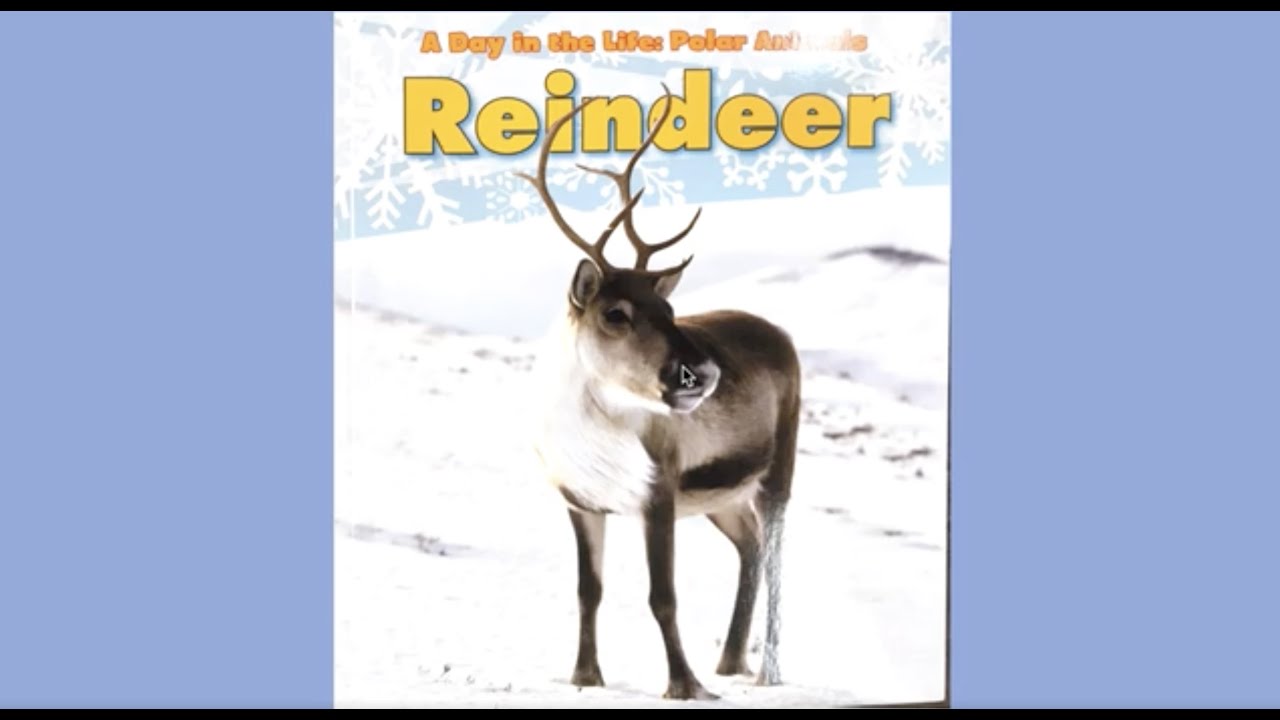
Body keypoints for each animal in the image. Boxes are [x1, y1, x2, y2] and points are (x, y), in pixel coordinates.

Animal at [519, 85, 803, 702]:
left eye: (669, 308)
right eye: (615, 313)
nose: (702, 373)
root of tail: (779, 331)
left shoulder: (660, 493)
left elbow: (662, 596)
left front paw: (685, 685)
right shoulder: (581, 502)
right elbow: (589, 592)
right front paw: (585, 676)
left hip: (776, 473)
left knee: (774, 552)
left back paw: (764, 672)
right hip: (720, 497)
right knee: (748, 545)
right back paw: (729, 660)